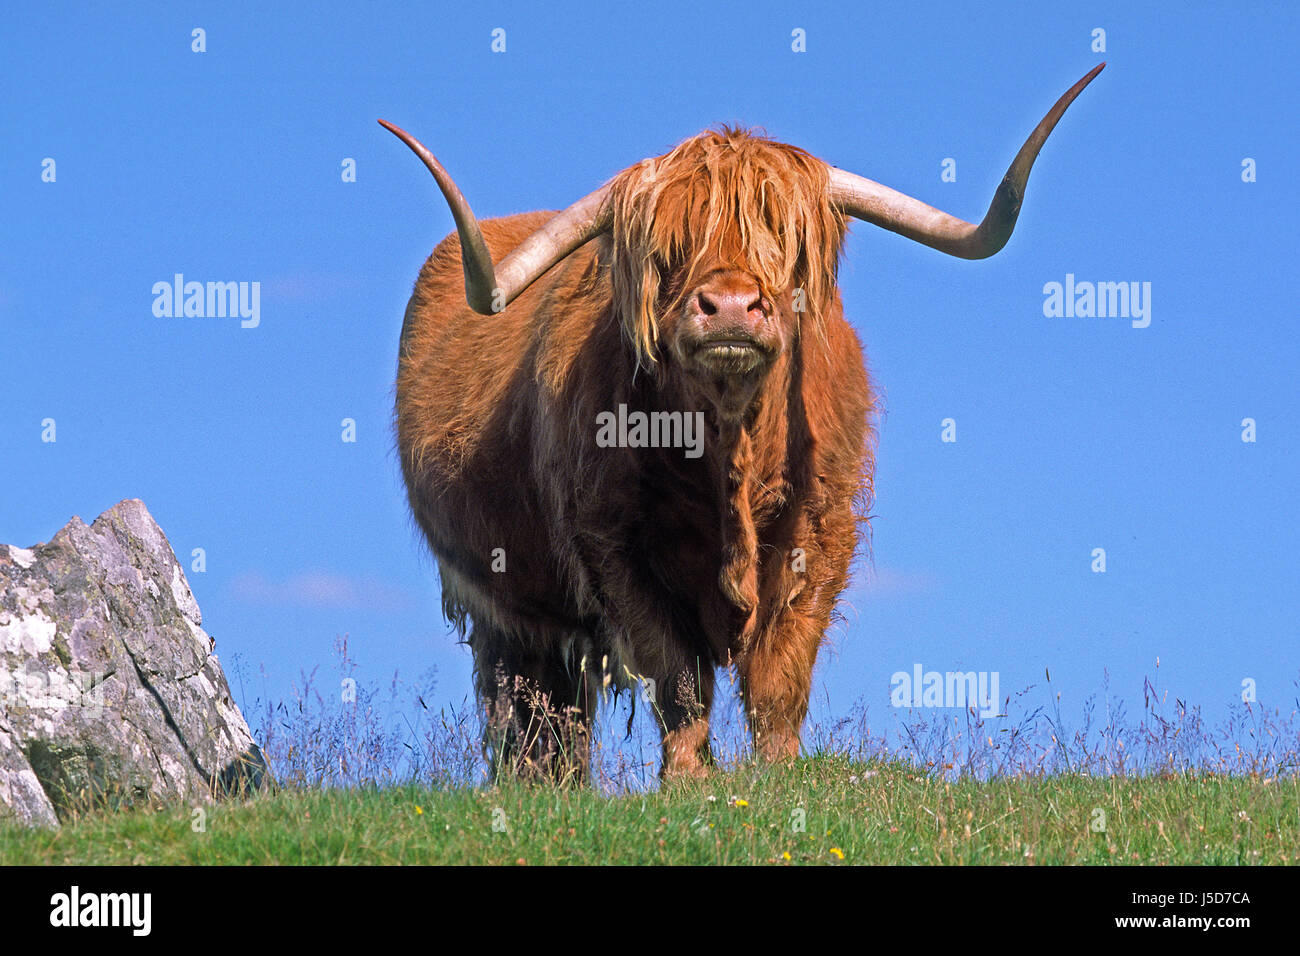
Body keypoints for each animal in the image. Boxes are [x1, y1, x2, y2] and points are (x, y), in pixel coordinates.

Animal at [383, 65, 1103, 783]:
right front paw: (688, 777)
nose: (729, 306)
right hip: (497, 599)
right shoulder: (613, 547)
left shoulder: (820, 533)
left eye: (781, 240)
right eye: (669, 250)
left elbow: (780, 677)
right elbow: (676, 674)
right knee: (527, 708)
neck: (730, 445)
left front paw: (781, 773)